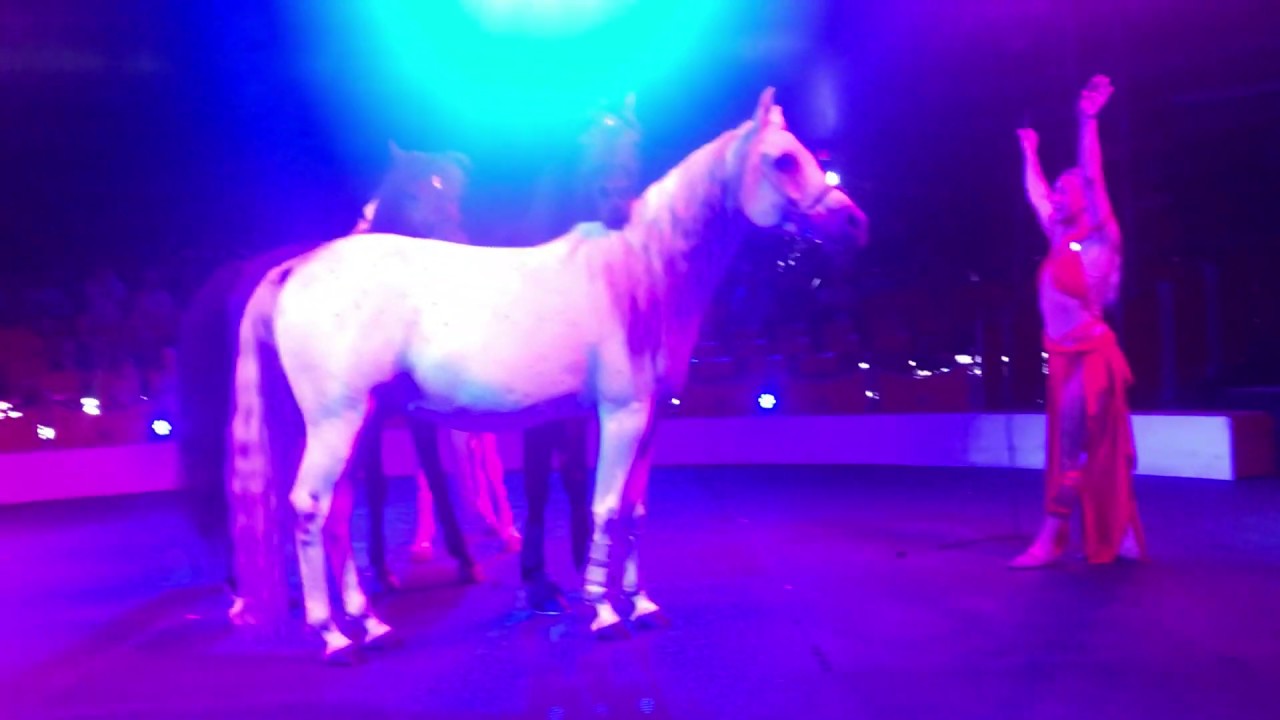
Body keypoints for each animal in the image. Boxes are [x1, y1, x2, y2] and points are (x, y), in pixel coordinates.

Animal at [229, 87, 868, 660]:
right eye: (783, 160)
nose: (854, 225)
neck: (640, 274)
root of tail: (299, 267)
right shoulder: (620, 415)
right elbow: (604, 508)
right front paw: (604, 612)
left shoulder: (652, 420)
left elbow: (634, 512)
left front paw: (642, 605)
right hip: (336, 424)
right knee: (309, 508)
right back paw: (332, 636)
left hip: (359, 423)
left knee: (337, 514)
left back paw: (370, 625)